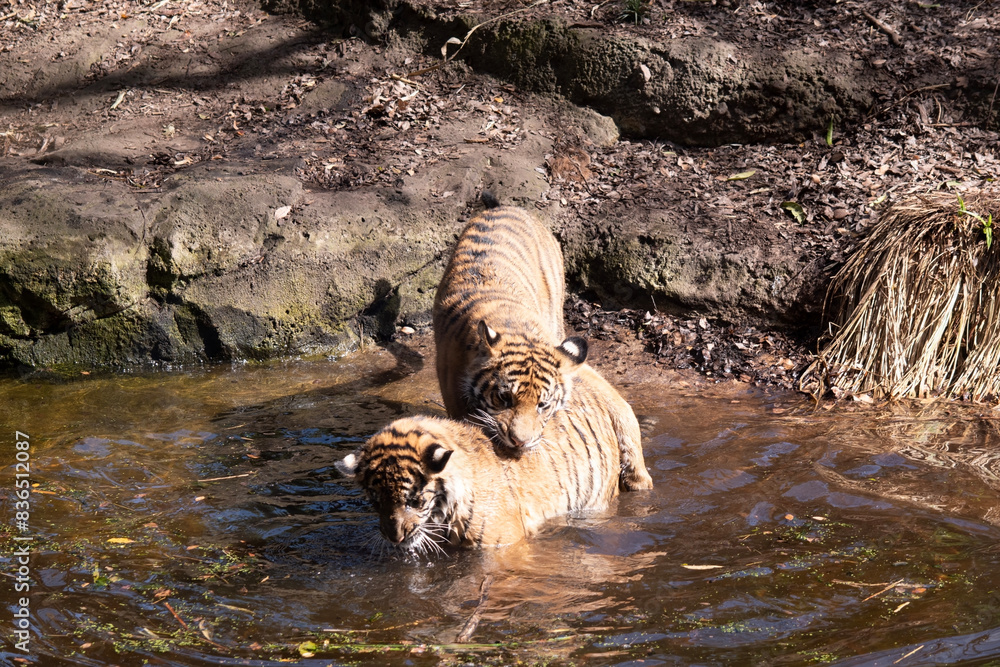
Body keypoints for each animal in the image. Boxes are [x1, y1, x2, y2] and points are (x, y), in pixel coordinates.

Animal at [432, 194, 653, 491]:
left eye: (542, 405)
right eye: (504, 398)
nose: (520, 442)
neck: (513, 327)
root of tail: (505, 206)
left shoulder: (571, 362)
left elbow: (621, 406)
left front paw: (639, 477)